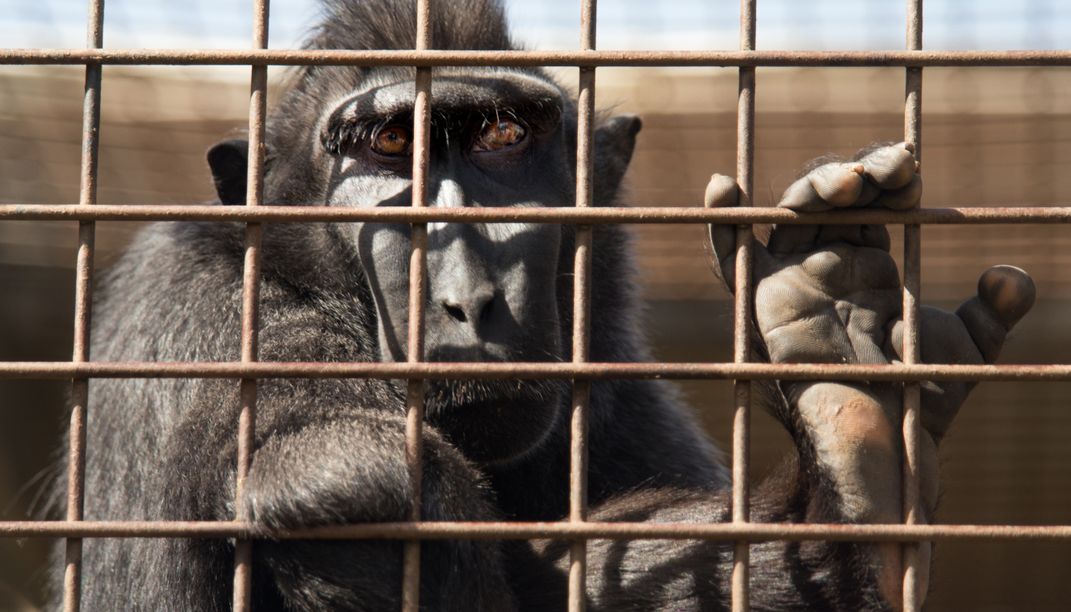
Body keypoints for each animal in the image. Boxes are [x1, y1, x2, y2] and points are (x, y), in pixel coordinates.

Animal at [46, 1, 1035, 610]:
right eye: (384, 146)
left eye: (501, 136)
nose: (467, 295)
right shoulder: (239, 329)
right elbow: (344, 482)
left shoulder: (618, 387)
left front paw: (847, 390)